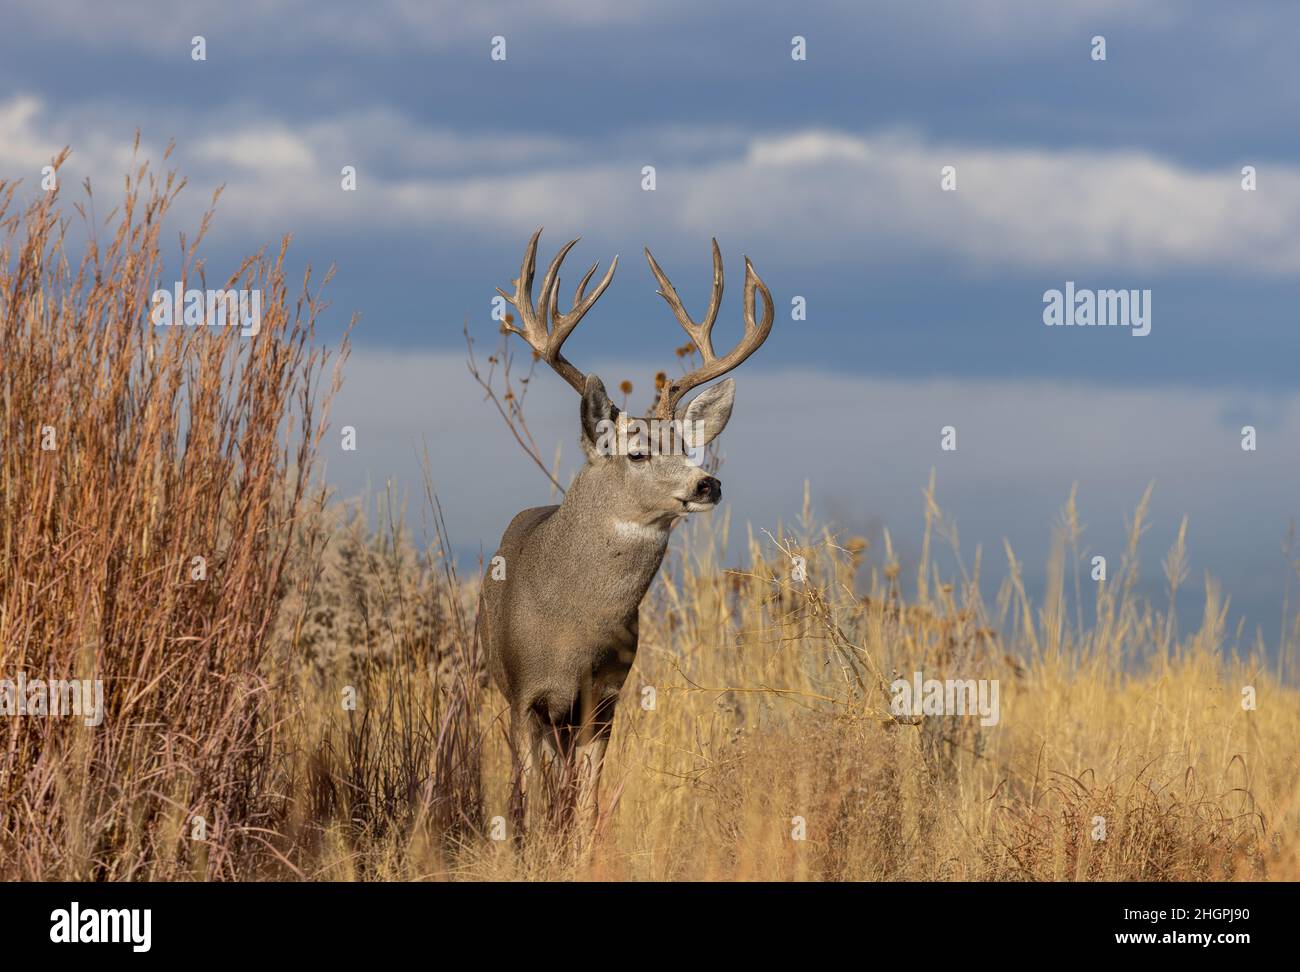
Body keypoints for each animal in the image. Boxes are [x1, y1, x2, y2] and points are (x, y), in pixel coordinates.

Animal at [477, 228, 774, 835]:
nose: (708, 484)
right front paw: (523, 842)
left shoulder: (605, 699)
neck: (571, 630)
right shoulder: (524, 695)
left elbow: (588, 803)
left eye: (686, 446)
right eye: (637, 452)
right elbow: (526, 799)